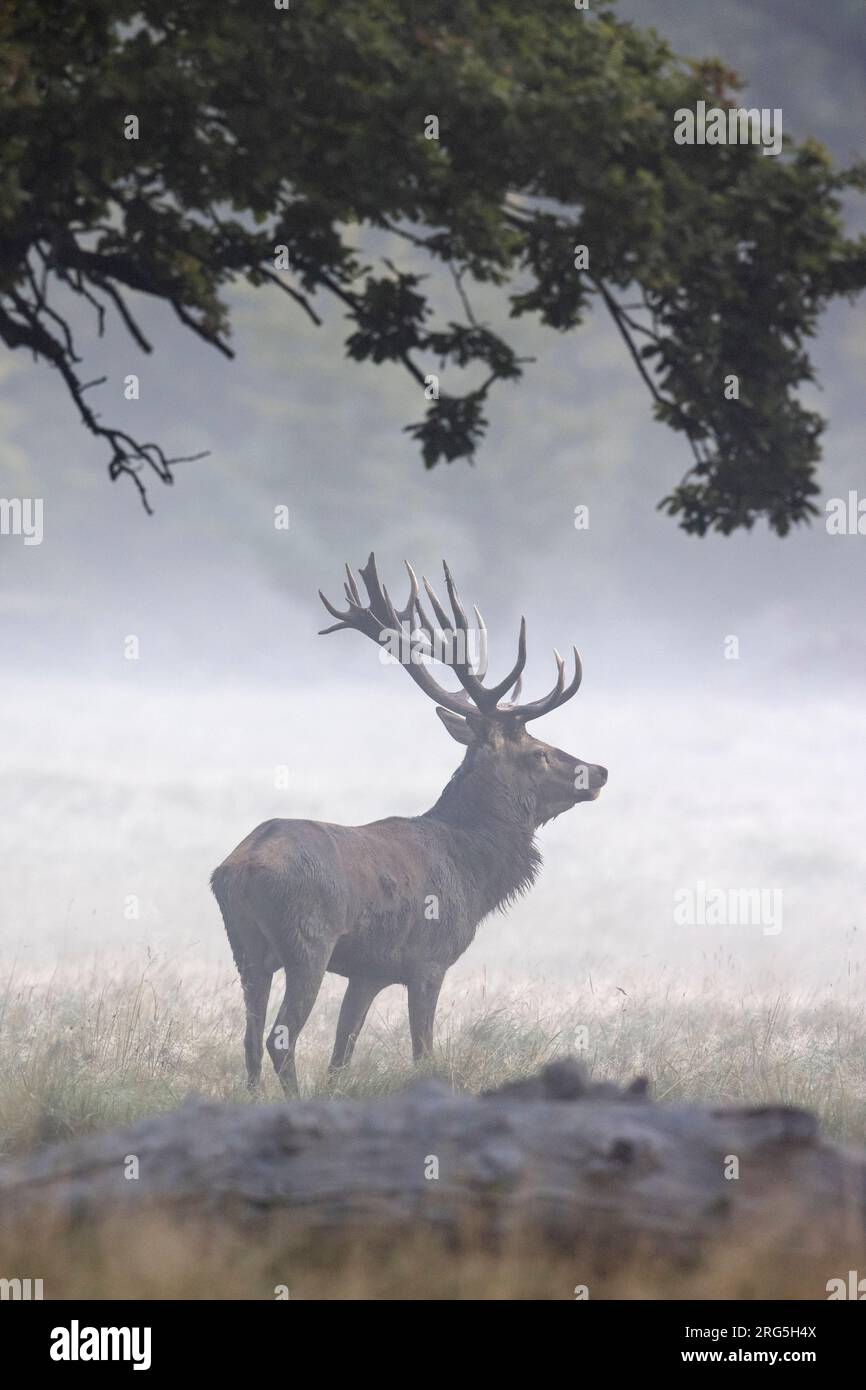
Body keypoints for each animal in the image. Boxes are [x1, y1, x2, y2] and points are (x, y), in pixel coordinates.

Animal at [211, 554, 607, 1098]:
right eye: (538, 752)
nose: (600, 771)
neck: (473, 871)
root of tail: (237, 869)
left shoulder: (369, 971)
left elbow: (342, 1053)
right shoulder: (429, 960)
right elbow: (423, 1052)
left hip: (245, 946)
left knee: (249, 1037)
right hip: (308, 941)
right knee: (278, 1037)